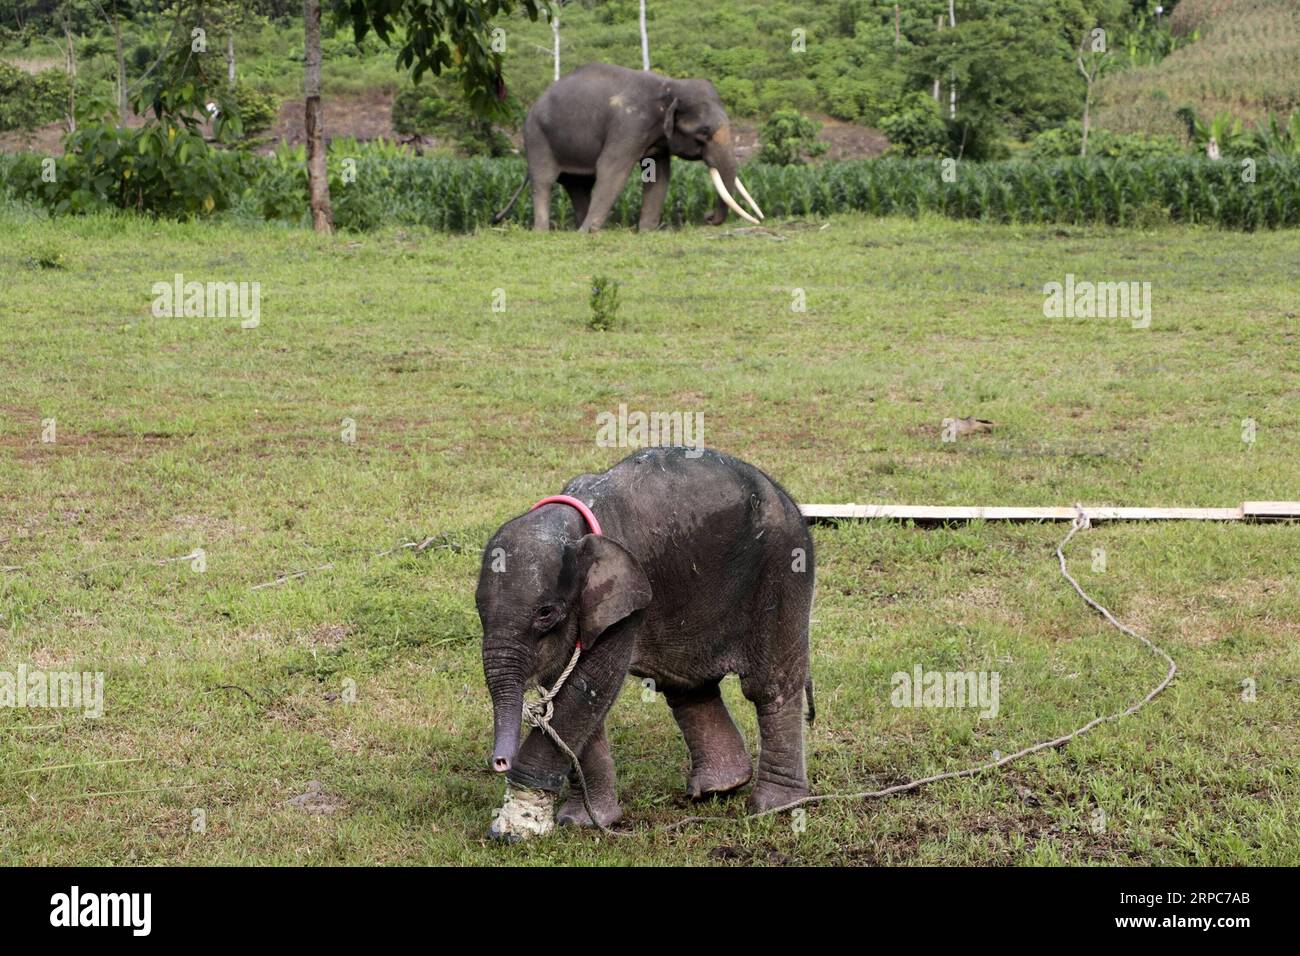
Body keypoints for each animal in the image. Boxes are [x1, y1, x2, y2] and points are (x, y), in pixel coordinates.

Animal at [475, 446, 815, 840]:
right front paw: (583, 822)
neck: (572, 522)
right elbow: (571, 690)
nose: (501, 762)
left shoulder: (628, 600)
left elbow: (588, 687)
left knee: (768, 686)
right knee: (687, 686)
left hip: (783, 567)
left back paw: (775, 806)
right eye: (478, 608)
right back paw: (718, 789)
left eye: (545, 613)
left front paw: (516, 826)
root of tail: (786, 497)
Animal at [493, 62, 765, 233]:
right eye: (704, 132)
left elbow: (659, 175)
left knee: (578, 185)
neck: (669, 85)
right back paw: (547, 231)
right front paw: (591, 233)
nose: (708, 217)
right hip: (536, 137)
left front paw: (646, 231)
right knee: (544, 181)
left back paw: (580, 227)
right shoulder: (629, 125)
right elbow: (611, 169)